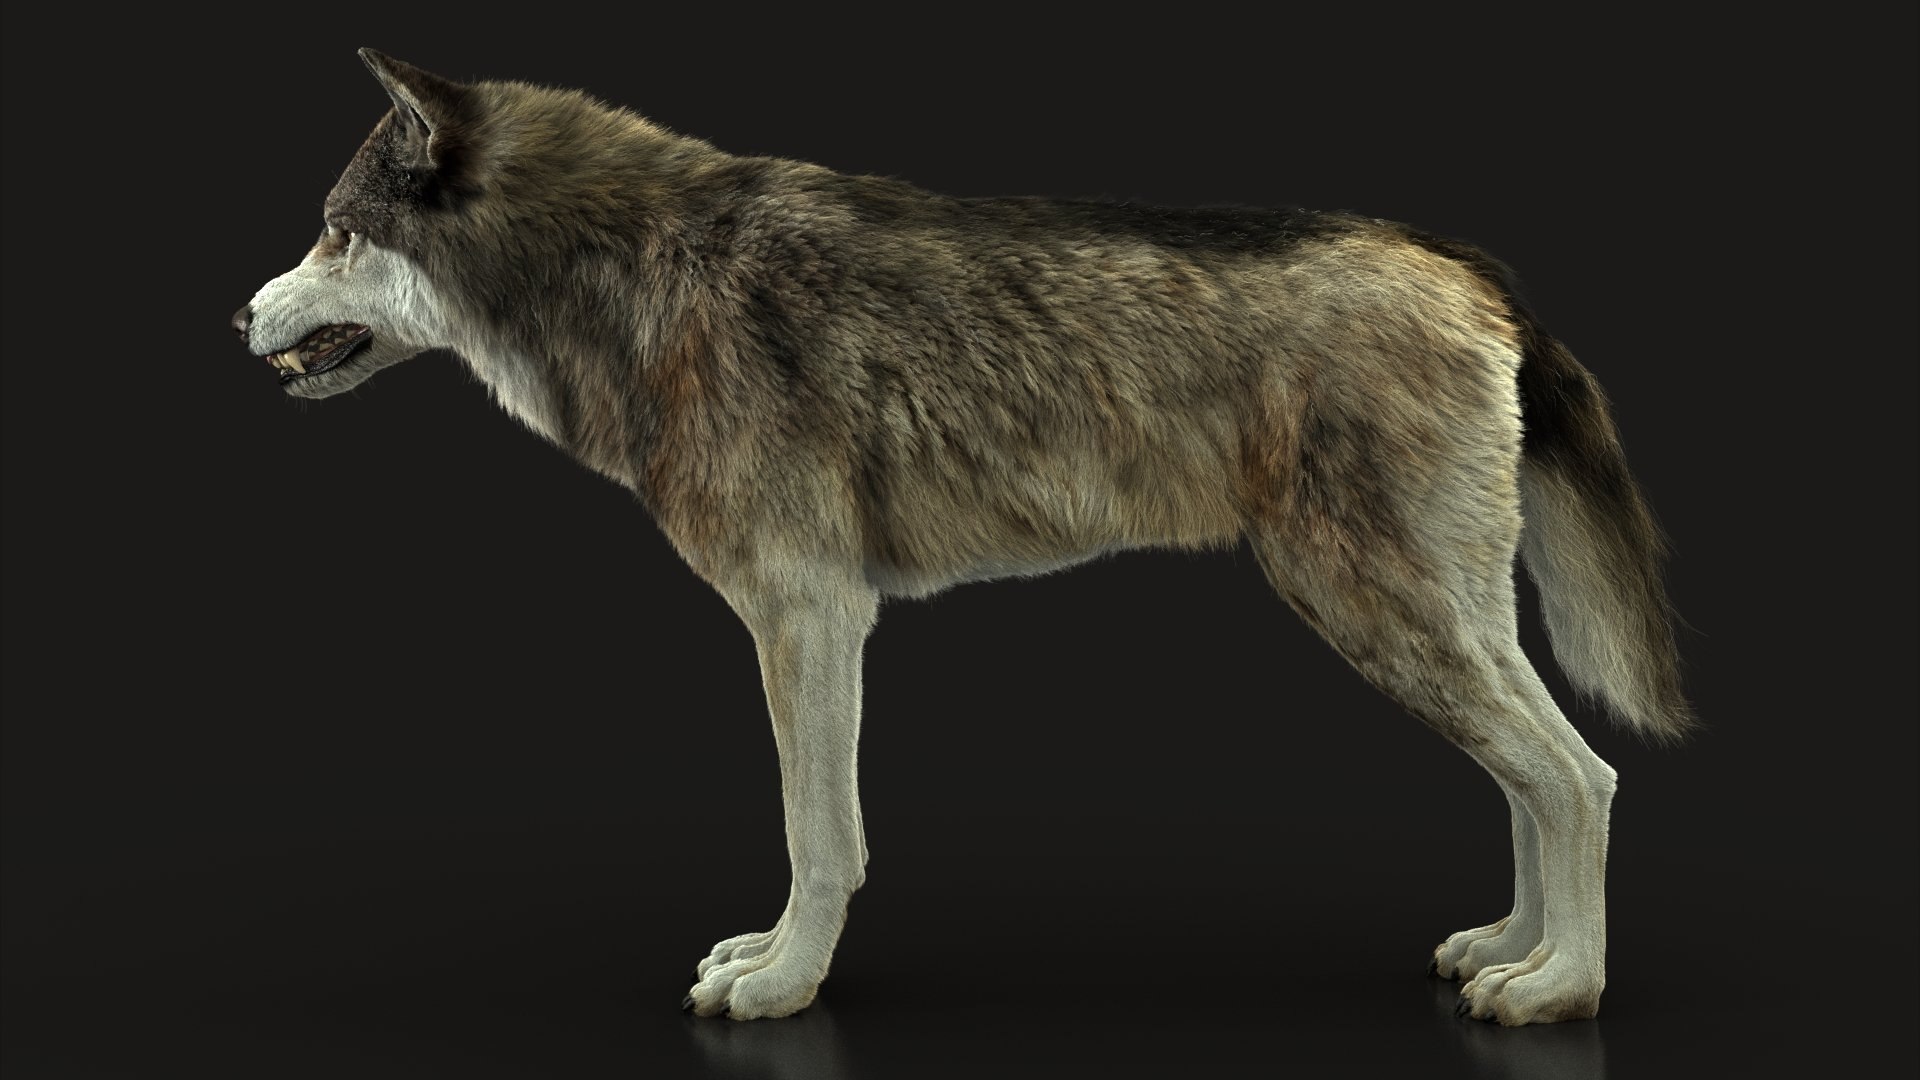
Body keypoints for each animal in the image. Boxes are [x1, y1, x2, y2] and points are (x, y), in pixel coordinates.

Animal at [232, 49, 1694, 1025]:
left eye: (334, 232)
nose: (238, 314)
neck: (642, 275)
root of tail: (1475, 274)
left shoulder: (808, 614)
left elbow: (819, 836)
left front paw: (784, 984)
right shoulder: (815, 621)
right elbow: (821, 834)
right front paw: (780, 965)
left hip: (1377, 615)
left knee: (1581, 778)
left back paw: (1557, 988)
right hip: (1429, 627)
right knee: (1532, 777)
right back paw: (1507, 947)